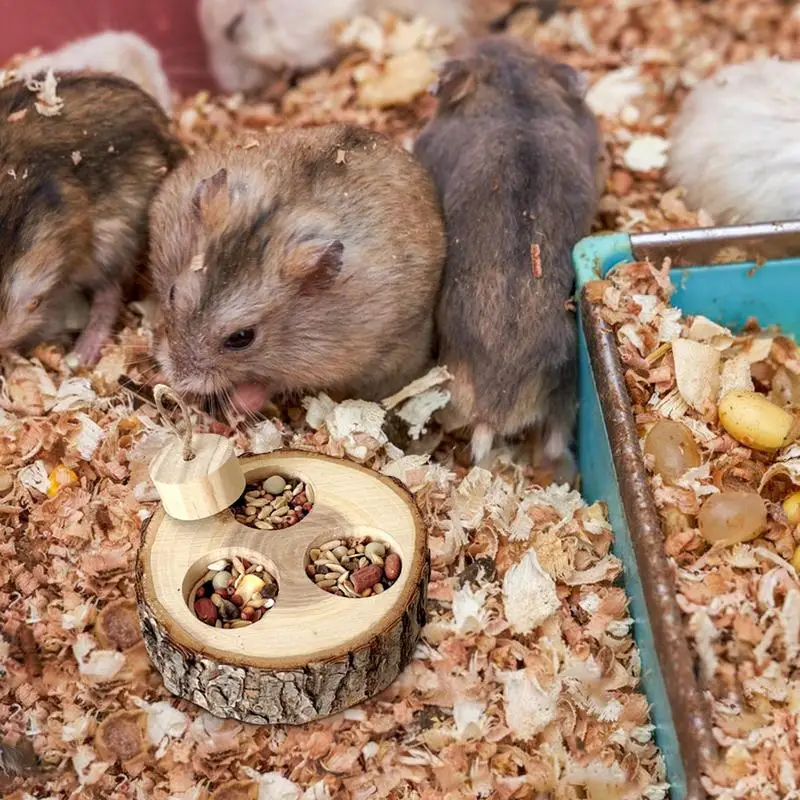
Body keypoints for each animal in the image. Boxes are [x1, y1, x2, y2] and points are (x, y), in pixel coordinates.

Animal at [149, 124, 445, 413]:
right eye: (172, 294)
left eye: (242, 338)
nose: (178, 378)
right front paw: (159, 376)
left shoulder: (329, 362)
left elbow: (273, 382)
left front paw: (238, 404)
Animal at [413, 36, 602, 470]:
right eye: (528, 49)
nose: (492, 38)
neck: (515, 92)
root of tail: (495, 404)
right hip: (566, 391)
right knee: (554, 440)